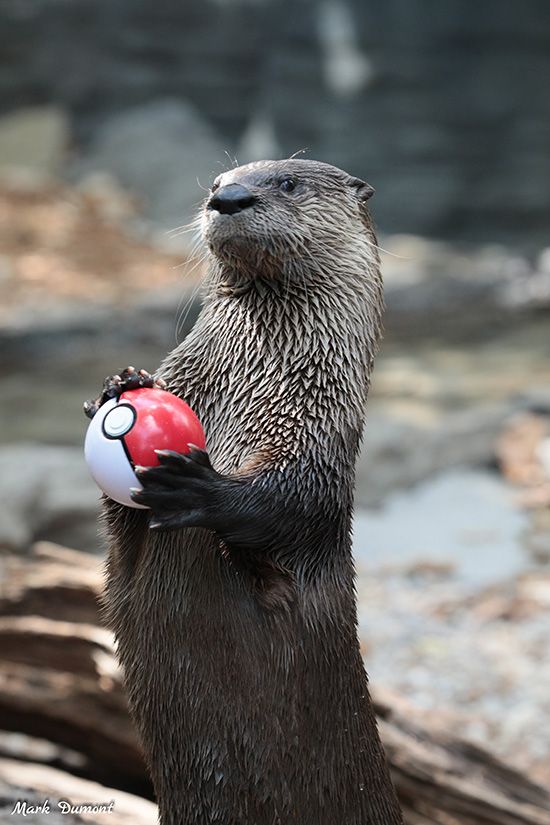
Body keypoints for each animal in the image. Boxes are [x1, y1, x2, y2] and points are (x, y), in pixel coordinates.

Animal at [84, 159, 403, 825]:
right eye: (215, 182)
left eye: (287, 183)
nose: (228, 198)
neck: (247, 386)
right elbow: (116, 521)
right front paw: (119, 384)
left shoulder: (316, 443)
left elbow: (289, 504)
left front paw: (198, 486)